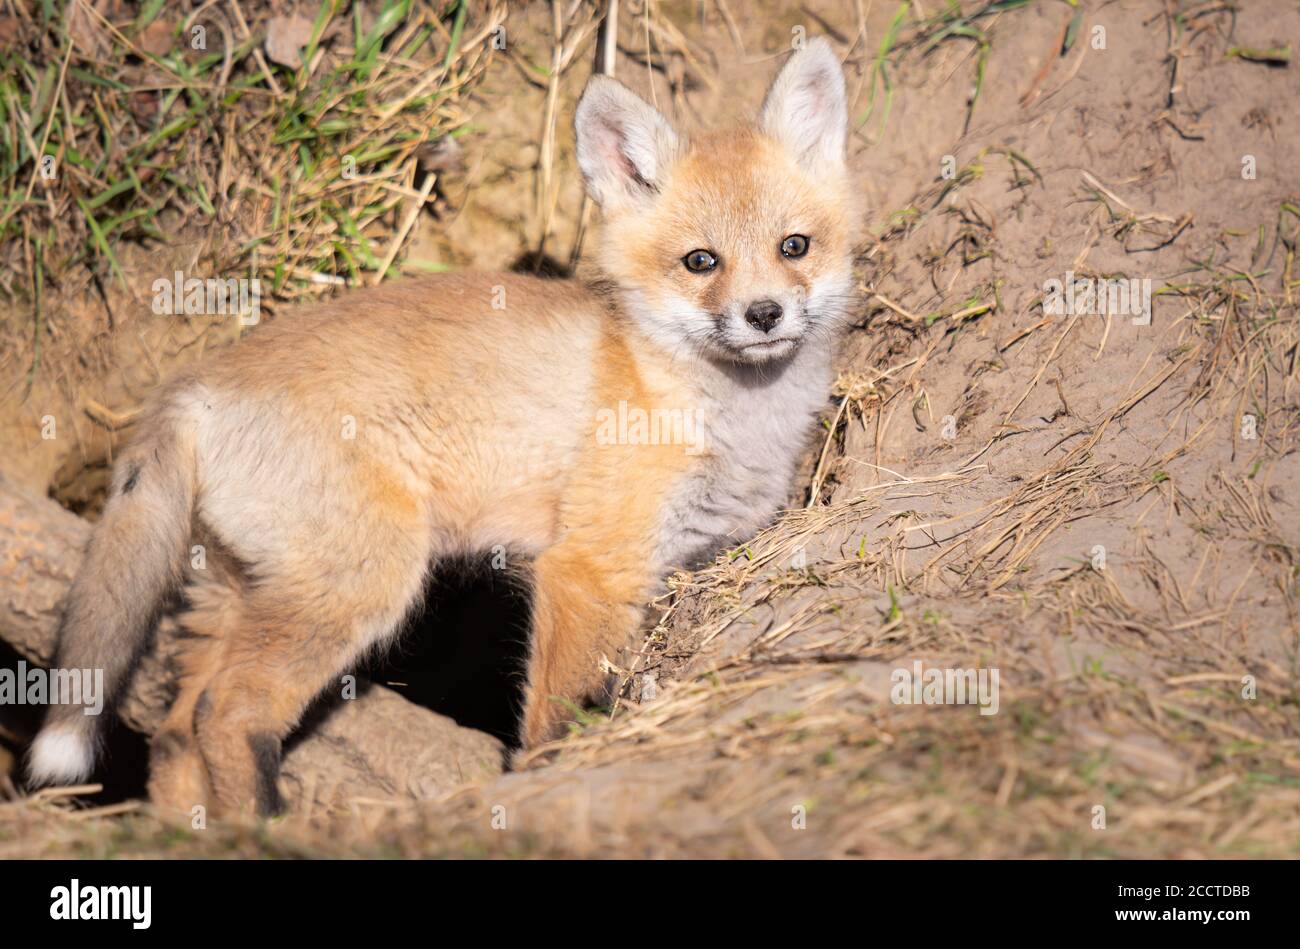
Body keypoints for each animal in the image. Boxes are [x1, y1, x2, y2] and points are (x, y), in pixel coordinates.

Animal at [27, 38, 858, 816]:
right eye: (700, 261)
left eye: (794, 246)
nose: (763, 314)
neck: (713, 410)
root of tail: (197, 382)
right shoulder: (586, 568)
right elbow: (549, 723)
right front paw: (542, 778)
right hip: (360, 583)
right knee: (228, 714)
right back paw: (267, 825)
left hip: (238, 589)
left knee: (176, 729)